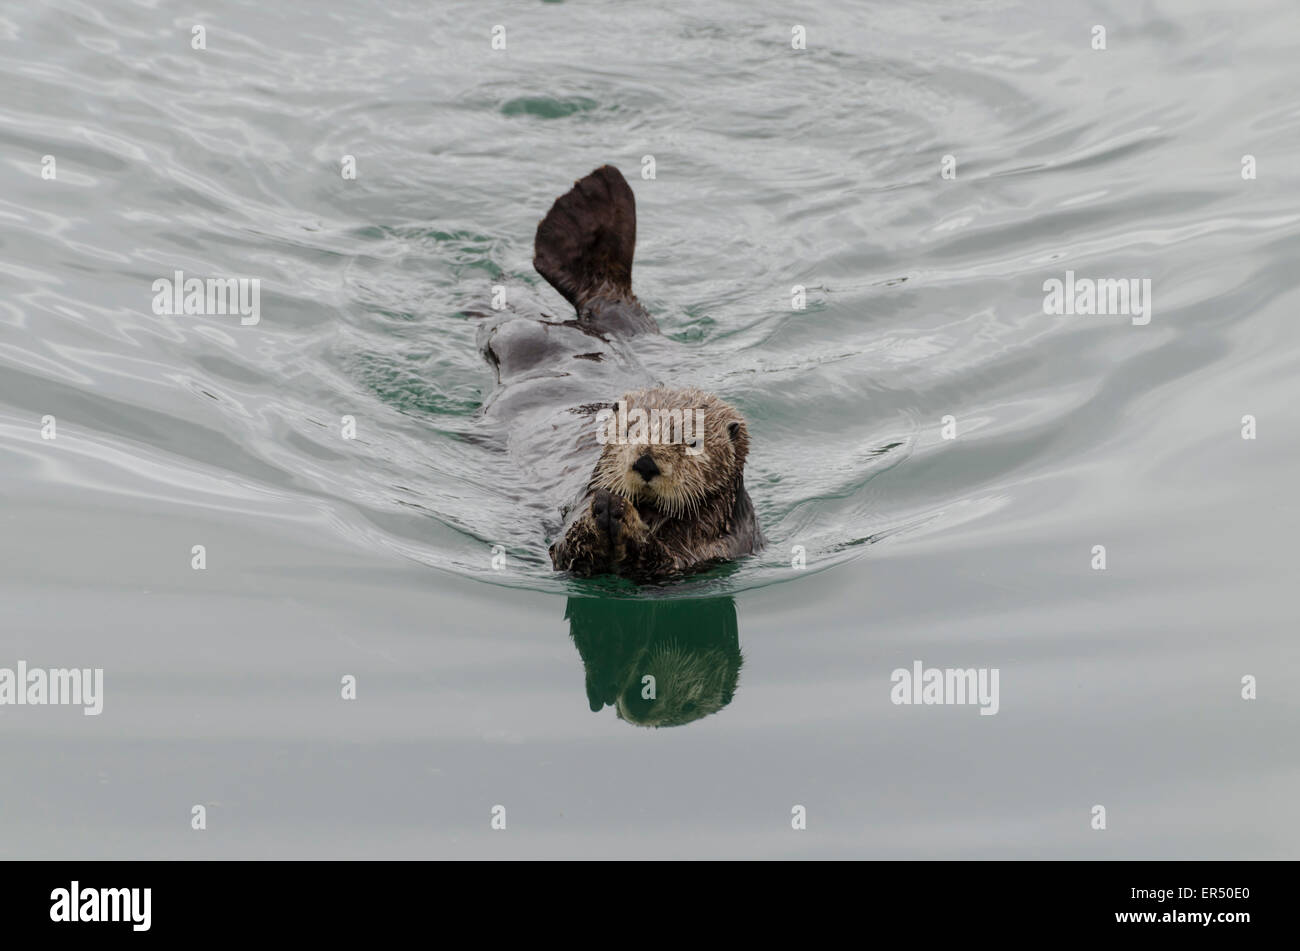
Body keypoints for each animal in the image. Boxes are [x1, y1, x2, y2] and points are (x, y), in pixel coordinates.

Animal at [475, 165, 762, 580]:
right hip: (529, 335)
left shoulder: (712, 549)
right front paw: (606, 508)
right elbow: (564, 547)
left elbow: (659, 560)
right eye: (629, 428)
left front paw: (621, 517)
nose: (645, 462)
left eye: (693, 442)